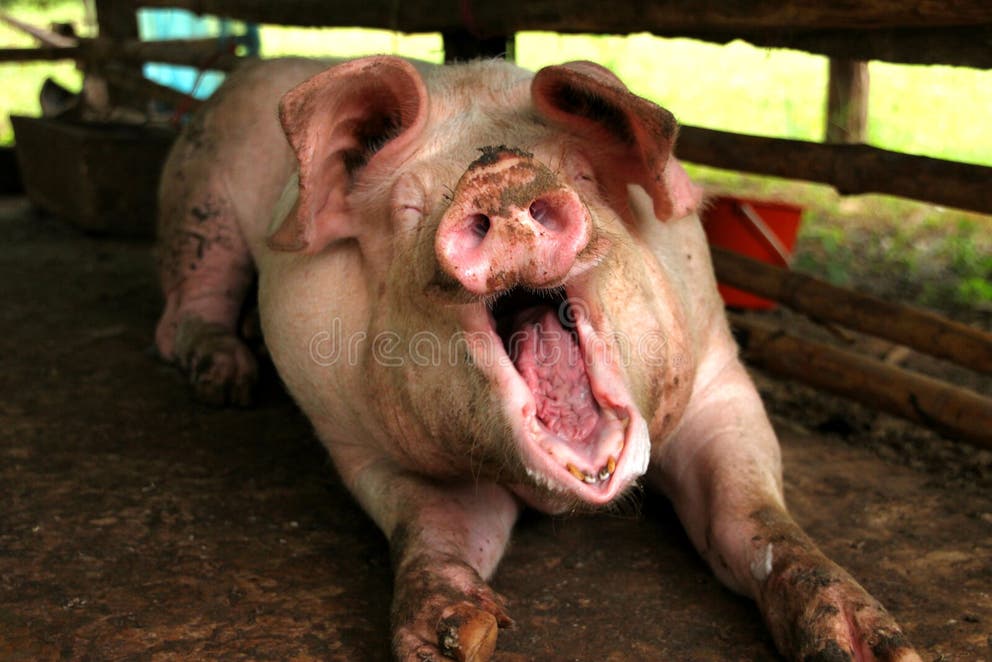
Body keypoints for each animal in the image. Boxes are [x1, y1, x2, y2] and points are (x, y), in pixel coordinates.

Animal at [155, 55, 921, 661]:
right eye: (407, 208)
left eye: (580, 171)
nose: (498, 170)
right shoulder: (357, 440)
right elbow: (433, 524)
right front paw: (451, 638)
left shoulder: (717, 375)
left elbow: (751, 512)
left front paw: (878, 648)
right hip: (199, 192)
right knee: (186, 303)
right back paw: (226, 378)